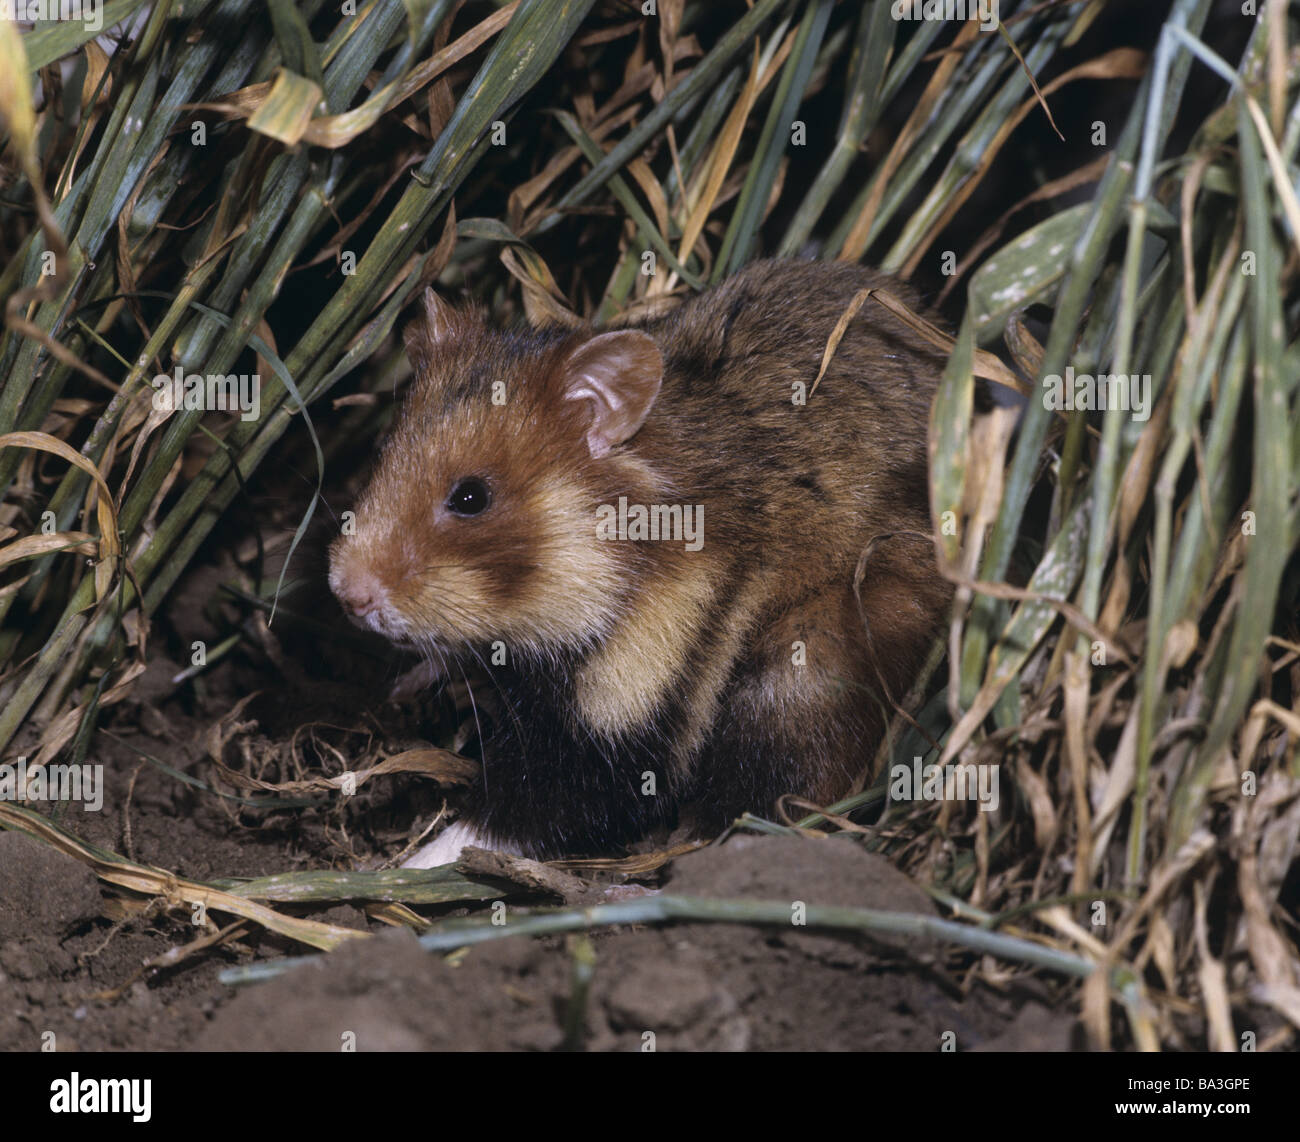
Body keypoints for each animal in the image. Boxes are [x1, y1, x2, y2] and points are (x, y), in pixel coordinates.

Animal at [329, 259, 952, 866]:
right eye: (382, 454)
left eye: (470, 497)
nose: (346, 595)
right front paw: (408, 681)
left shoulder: (636, 700)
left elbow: (509, 820)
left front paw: (394, 872)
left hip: (811, 664)